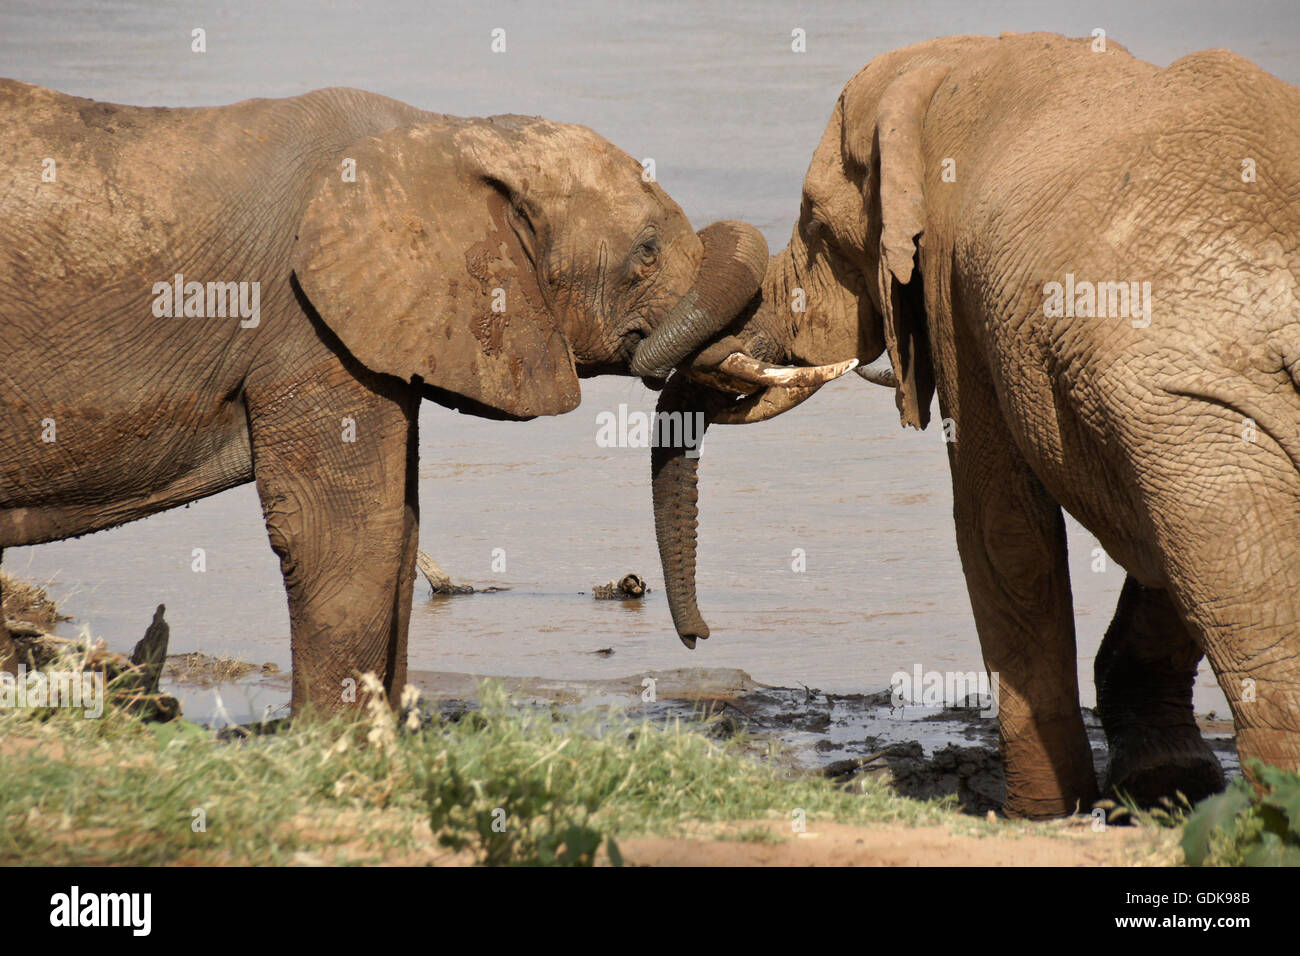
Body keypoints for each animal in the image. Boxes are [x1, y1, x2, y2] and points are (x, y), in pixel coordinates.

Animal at [0, 79, 781, 713]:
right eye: (645, 251)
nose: (700, 637)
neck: (447, 134)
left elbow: (399, 530)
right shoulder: (306, 321)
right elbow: (345, 535)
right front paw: (340, 749)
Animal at [646, 33, 1300, 818]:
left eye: (816, 226)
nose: (698, 637)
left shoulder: (959, 291)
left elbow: (999, 528)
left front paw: (1037, 816)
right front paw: (1162, 786)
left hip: (1193, 418)